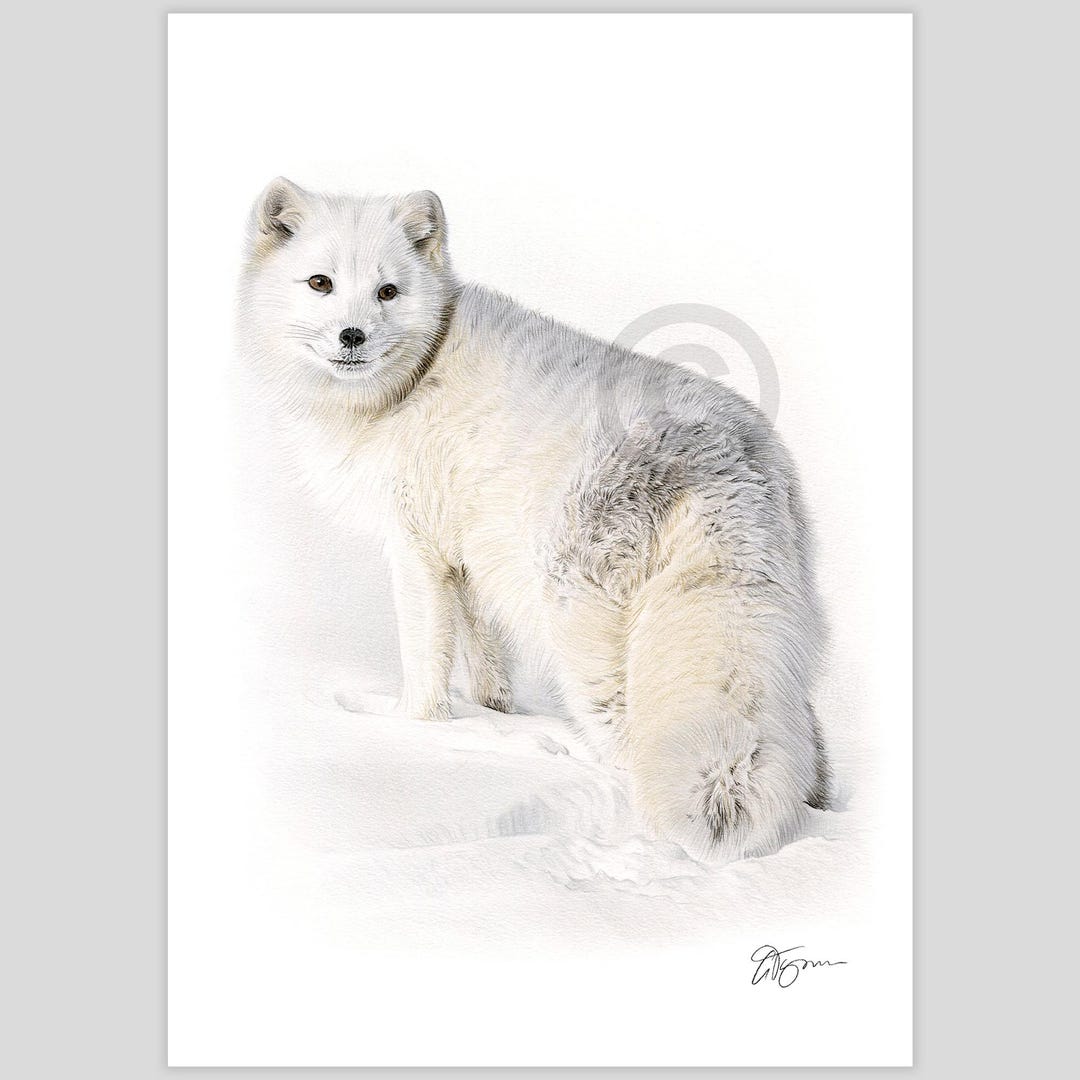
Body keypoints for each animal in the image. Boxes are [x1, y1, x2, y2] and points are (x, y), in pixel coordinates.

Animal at [236, 177, 831, 861]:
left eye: (388, 291)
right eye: (320, 283)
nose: (352, 336)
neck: (412, 381)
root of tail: (722, 457)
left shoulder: (416, 552)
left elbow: (424, 663)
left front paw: (412, 732)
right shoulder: (469, 563)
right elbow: (487, 667)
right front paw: (496, 723)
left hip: (584, 643)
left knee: (628, 747)